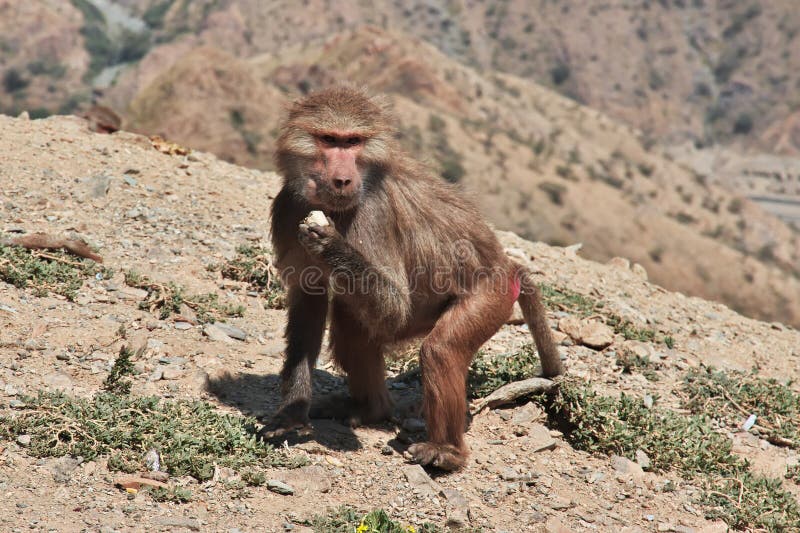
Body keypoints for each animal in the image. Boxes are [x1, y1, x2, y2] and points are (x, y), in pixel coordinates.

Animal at [262, 86, 562, 470]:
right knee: (350, 324)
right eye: (329, 139)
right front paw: (292, 413)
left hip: (491, 295)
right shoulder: (288, 207)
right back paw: (369, 409)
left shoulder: (372, 213)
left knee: (440, 349)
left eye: (353, 141)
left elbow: (394, 306)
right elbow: (308, 301)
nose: (343, 181)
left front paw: (329, 243)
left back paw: (446, 451)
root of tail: (505, 265)